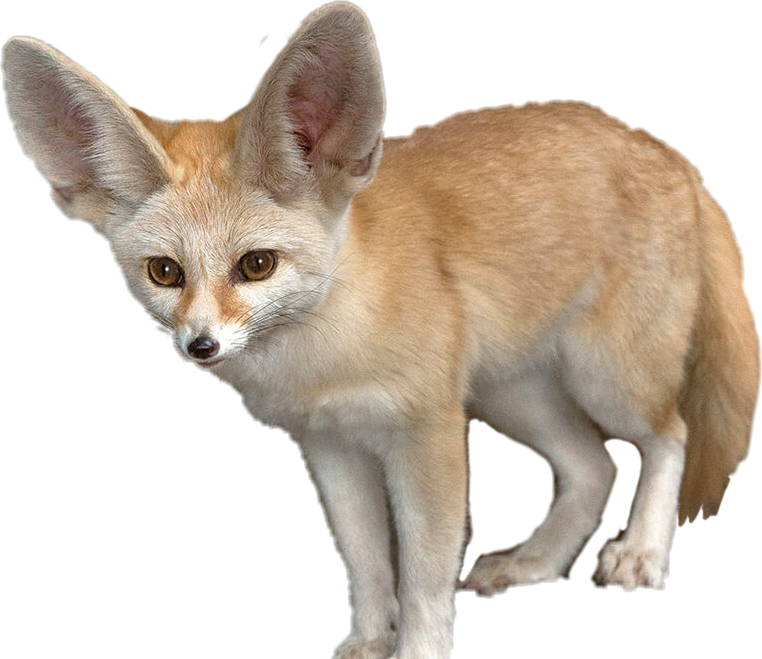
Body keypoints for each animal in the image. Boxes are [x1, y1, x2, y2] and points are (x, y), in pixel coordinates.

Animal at [2, 2, 760, 657]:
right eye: (165, 272)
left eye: (255, 264)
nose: (202, 346)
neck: (325, 358)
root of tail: (659, 146)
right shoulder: (329, 446)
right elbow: (366, 566)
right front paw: (369, 643)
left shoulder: (427, 435)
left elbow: (423, 575)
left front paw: (418, 652)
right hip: (512, 397)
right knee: (592, 466)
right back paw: (533, 563)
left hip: (604, 379)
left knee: (668, 436)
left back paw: (641, 554)